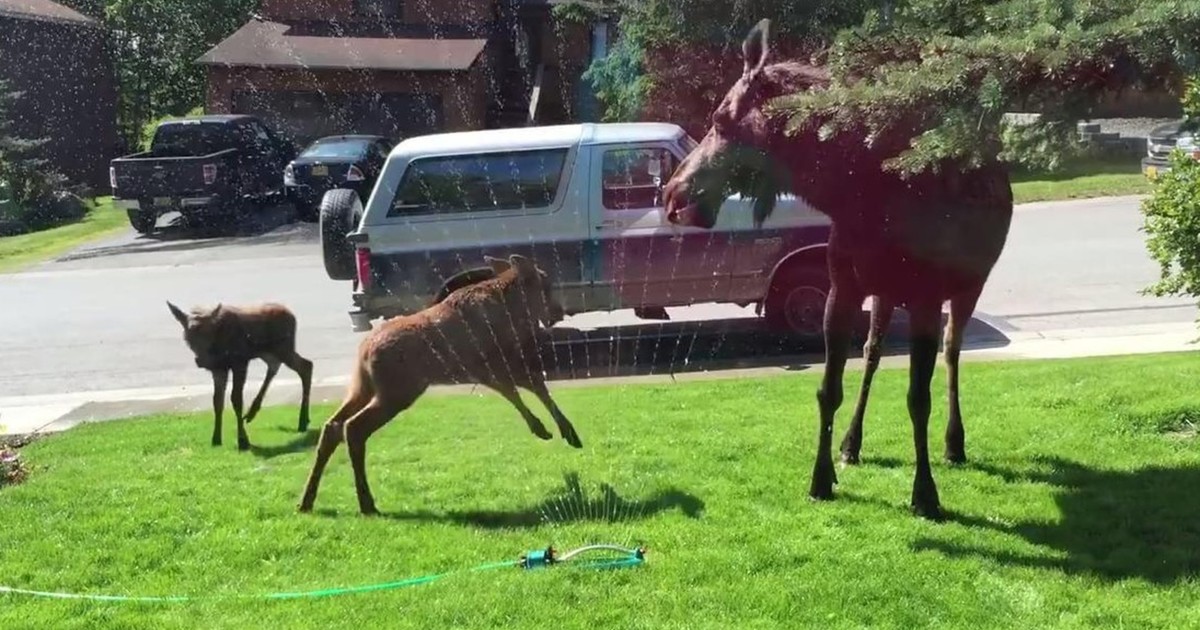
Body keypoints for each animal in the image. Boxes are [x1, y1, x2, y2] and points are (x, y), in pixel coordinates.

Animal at [166, 301, 313, 451]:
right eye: (187, 336)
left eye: (208, 333)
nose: (201, 361)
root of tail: (292, 315)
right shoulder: (218, 368)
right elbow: (217, 401)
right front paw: (216, 439)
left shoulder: (240, 362)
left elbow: (236, 399)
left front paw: (243, 441)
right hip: (267, 352)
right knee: (277, 366)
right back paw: (255, 413)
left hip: (283, 348)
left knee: (306, 365)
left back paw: (302, 421)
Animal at [297, 253, 582, 516]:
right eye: (546, 286)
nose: (560, 311)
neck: (510, 311)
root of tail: (364, 353)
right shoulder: (494, 360)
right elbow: (533, 384)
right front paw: (563, 431)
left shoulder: (483, 368)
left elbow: (518, 390)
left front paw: (547, 429)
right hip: (397, 390)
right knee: (353, 428)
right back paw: (366, 503)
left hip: (362, 387)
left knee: (332, 426)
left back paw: (306, 501)